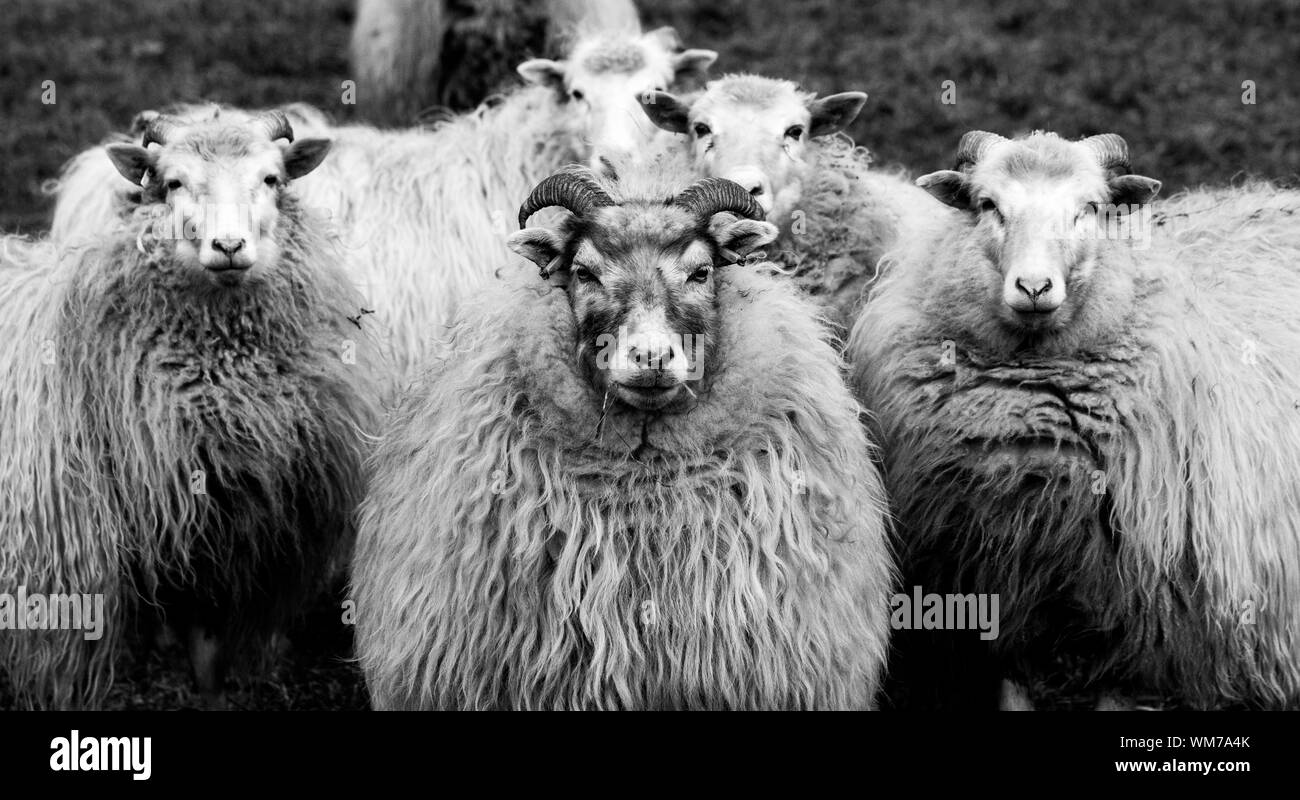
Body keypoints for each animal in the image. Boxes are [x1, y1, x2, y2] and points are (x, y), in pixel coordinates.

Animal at [0, 110, 381, 709]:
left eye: (271, 178)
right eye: (173, 182)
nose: (228, 245)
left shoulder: (231, 521)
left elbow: (207, 632)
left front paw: (210, 688)